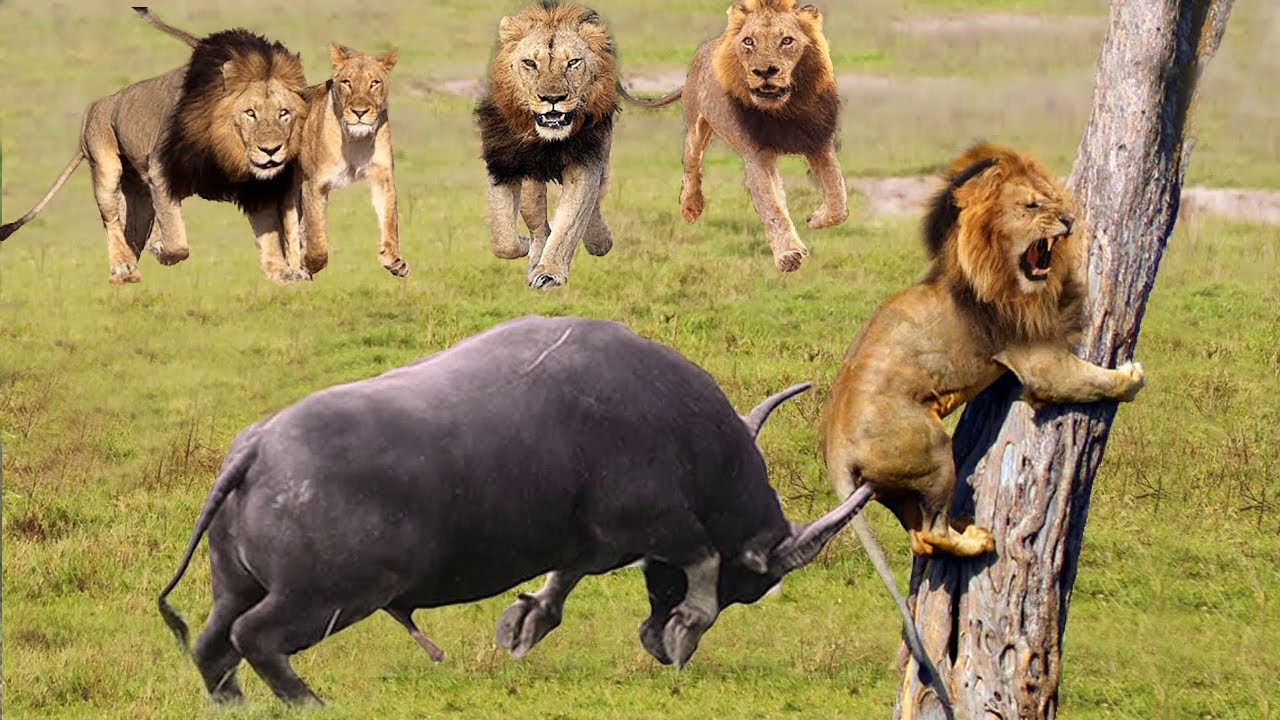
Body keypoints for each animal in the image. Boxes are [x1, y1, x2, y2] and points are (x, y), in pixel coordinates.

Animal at [0, 15, 309, 285]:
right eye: (250, 113)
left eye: (283, 113)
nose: (271, 150)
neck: (226, 149)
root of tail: (94, 108)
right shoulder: (160, 169)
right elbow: (176, 240)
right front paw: (160, 247)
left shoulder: (254, 186)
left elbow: (267, 230)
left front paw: (282, 272)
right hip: (105, 165)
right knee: (111, 221)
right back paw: (123, 268)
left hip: (138, 192)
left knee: (132, 229)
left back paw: (127, 266)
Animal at [475, 0, 619, 289]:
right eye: (530, 63)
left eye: (573, 62)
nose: (552, 98)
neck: (544, 139)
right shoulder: (503, 163)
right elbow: (502, 238)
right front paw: (523, 245)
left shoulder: (586, 162)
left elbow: (569, 224)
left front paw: (550, 272)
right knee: (538, 223)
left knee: (595, 202)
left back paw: (599, 241)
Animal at [617, 0, 847, 273]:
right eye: (748, 42)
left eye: (787, 41)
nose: (764, 71)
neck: (785, 108)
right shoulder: (756, 155)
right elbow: (771, 207)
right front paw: (787, 256)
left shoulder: (819, 144)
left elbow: (838, 200)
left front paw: (814, 220)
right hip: (697, 125)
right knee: (691, 163)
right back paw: (691, 206)